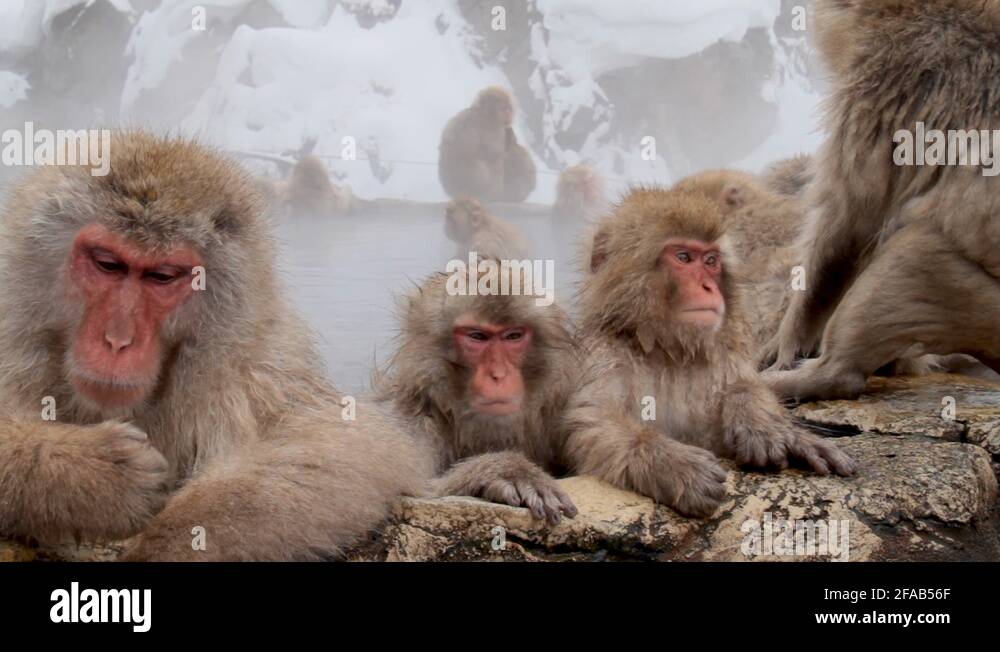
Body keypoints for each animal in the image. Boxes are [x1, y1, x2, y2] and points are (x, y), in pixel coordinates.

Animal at [0, 131, 432, 560]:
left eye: (162, 276)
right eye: (108, 264)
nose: (118, 340)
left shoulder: (250, 362)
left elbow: (340, 445)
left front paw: (166, 548)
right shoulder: (12, 330)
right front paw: (90, 474)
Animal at [377, 268, 579, 524]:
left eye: (513, 336)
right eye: (477, 336)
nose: (498, 375)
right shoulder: (412, 419)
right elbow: (411, 487)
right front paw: (509, 471)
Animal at [564, 187, 855, 518]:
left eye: (711, 260)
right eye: (683, 257)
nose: (708, 287)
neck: (669, 349)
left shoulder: (720, 359)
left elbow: (741, 389)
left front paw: (764, 422)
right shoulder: (602, 355)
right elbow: (593, 422)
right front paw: (672, 465)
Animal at [762, 0, 1000, 401]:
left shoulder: (884, 77)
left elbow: (847, 225)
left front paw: (787, 340)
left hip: (979, 304)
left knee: (912, 251)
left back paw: (813, 376)